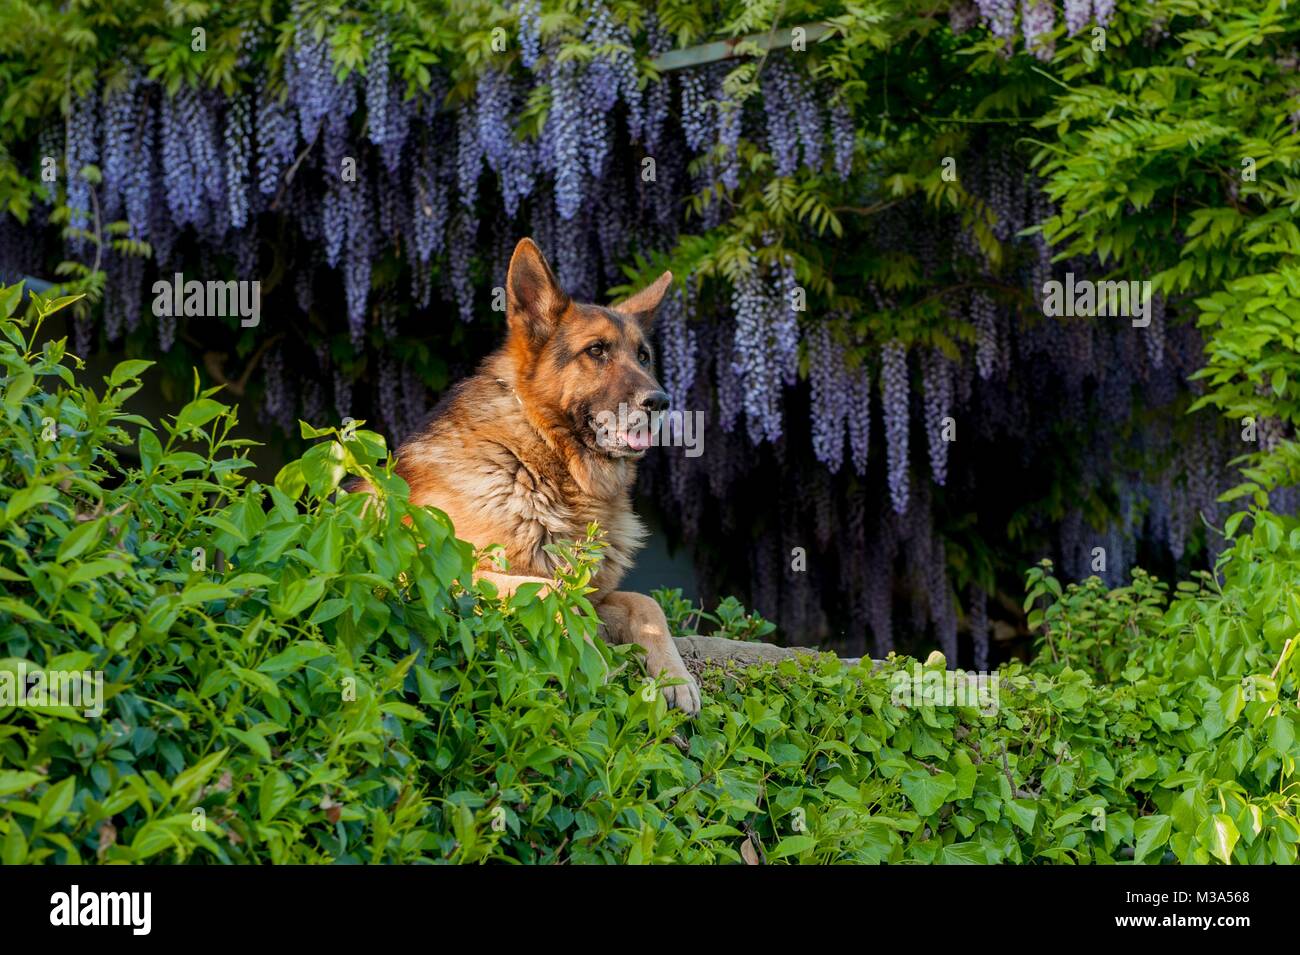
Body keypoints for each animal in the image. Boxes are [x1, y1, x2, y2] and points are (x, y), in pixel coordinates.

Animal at [387, 238, 700, 714]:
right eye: (596, 351)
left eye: (643, 357)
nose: (660, 402)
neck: (539, 460)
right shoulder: (432, 575)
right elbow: (549, 589)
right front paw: (594, 662)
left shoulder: (598, 594)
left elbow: (646, 604)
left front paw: (673, 676)